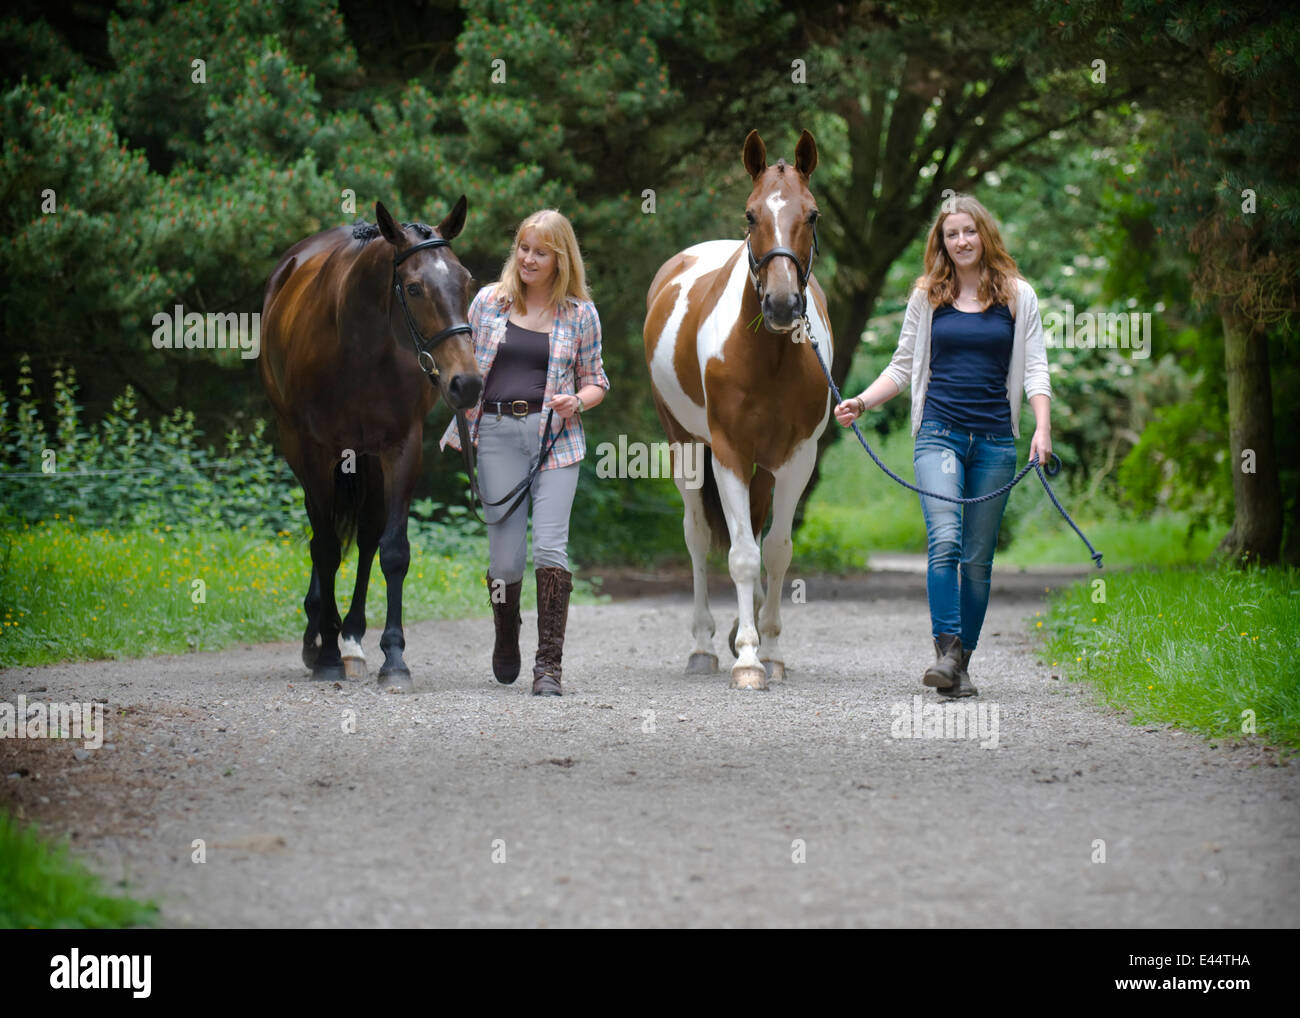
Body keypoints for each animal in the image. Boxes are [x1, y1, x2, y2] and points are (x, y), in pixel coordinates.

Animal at [259, 199, 482, 692]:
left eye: (467, 281)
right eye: (414, 288)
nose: (468, 383)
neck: (358, 345)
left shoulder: (402, 447)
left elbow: (393, 550)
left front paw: (393, 658)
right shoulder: (314, 451)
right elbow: (324, 548)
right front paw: (325, 654)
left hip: (365, 458)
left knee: (364, 538)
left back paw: (352, 638)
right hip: (309, 452)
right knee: (321, 534)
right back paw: (320, 636)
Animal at [643, 130, 833, 690]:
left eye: (812, 214)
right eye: (751, 215)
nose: (783, 306)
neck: (768, 357)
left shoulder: (796, 459)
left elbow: (776, 550)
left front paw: (769, 649)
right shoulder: (727, 452)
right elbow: (743, 556)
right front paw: (747, 659)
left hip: (763, 469)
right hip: (685, 445)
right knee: (699, 537)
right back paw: (704, 645)